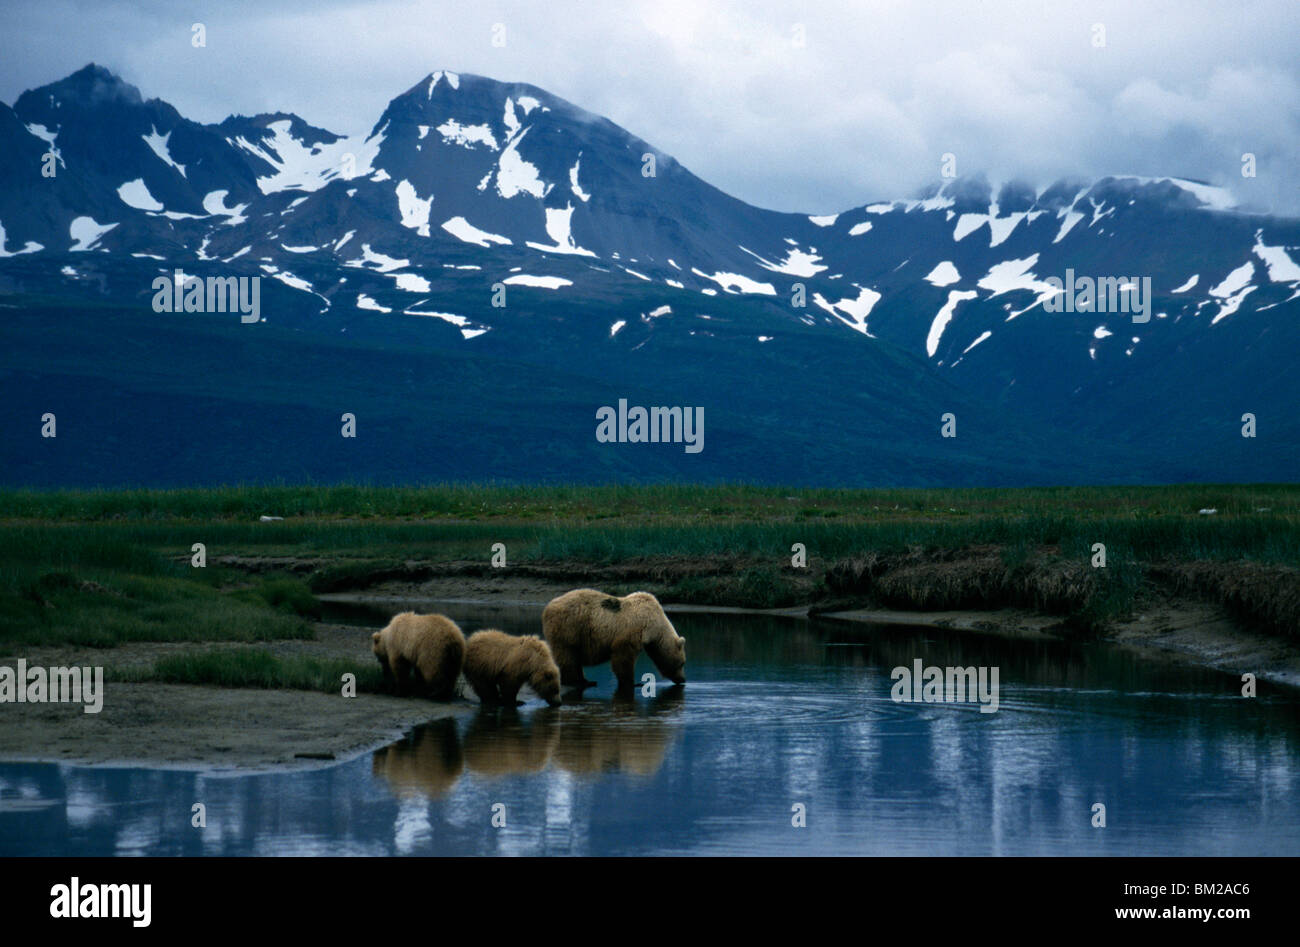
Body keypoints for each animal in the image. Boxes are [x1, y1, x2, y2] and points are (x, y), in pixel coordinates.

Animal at [542, 588, 686, 693]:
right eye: (682, 663)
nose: (682, 679)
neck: (655, 626)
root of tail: (548, 607)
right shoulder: (633, 629)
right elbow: (623, 656)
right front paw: (633, 683)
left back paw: (586, 680)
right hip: (569, 627)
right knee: (567, 656)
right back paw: (576, 681)